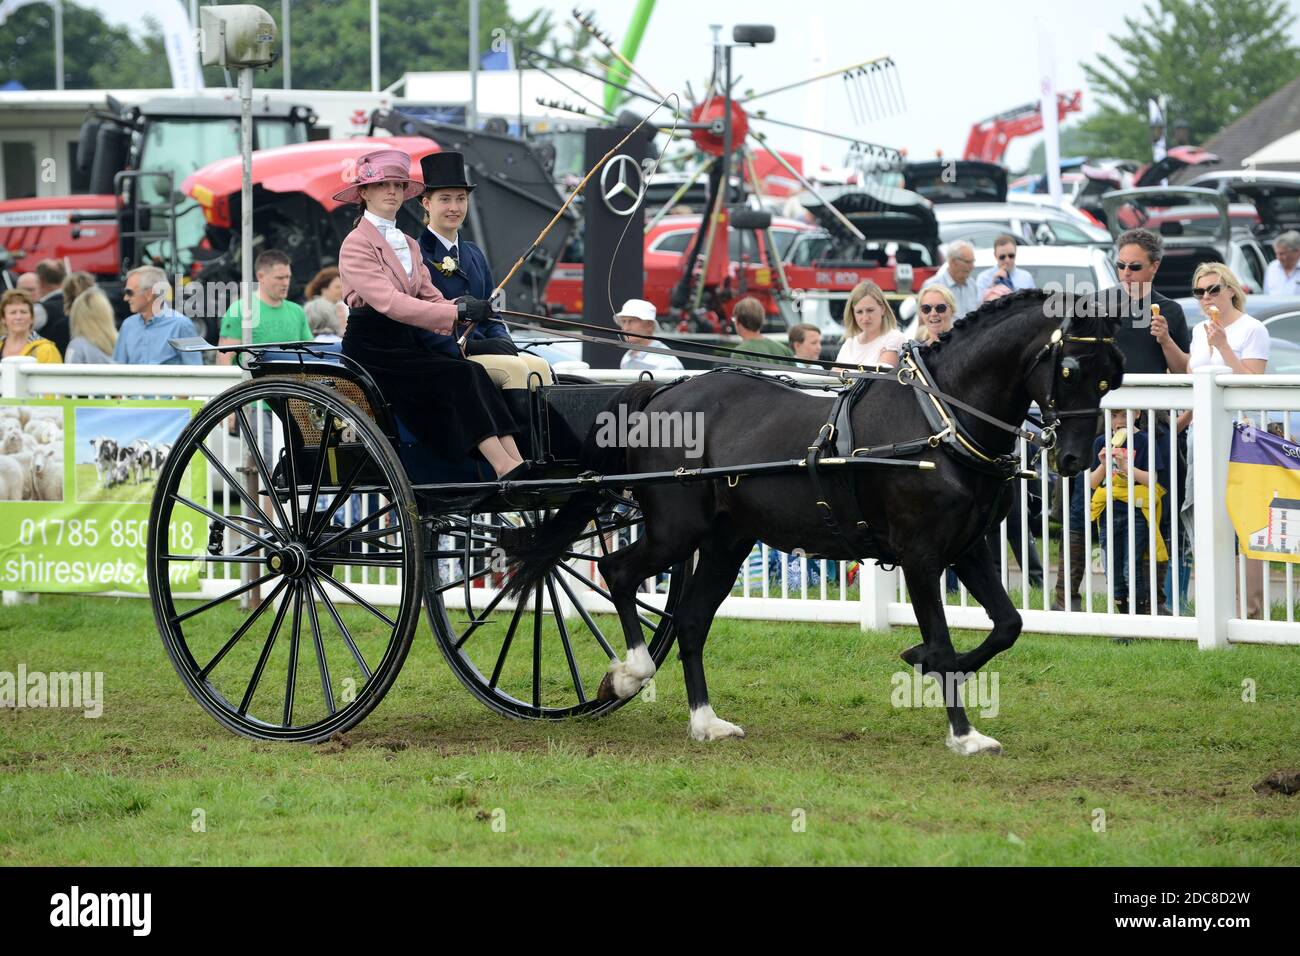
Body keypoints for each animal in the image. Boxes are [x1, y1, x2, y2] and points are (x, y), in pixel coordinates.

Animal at [506, 290, 1124, 755]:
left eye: (1109, 378)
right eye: (1069, 368)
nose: (1074, 459)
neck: (939, 422)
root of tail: (662, 392)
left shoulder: (969, 550)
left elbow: (1006, 626)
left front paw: (919, 661)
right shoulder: (921, 556)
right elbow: (947, 641)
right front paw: (963, 733)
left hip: (729, 541)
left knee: (691, 621)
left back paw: (705, 722)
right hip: (675, 531)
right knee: (619, 571)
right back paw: (630, 671)